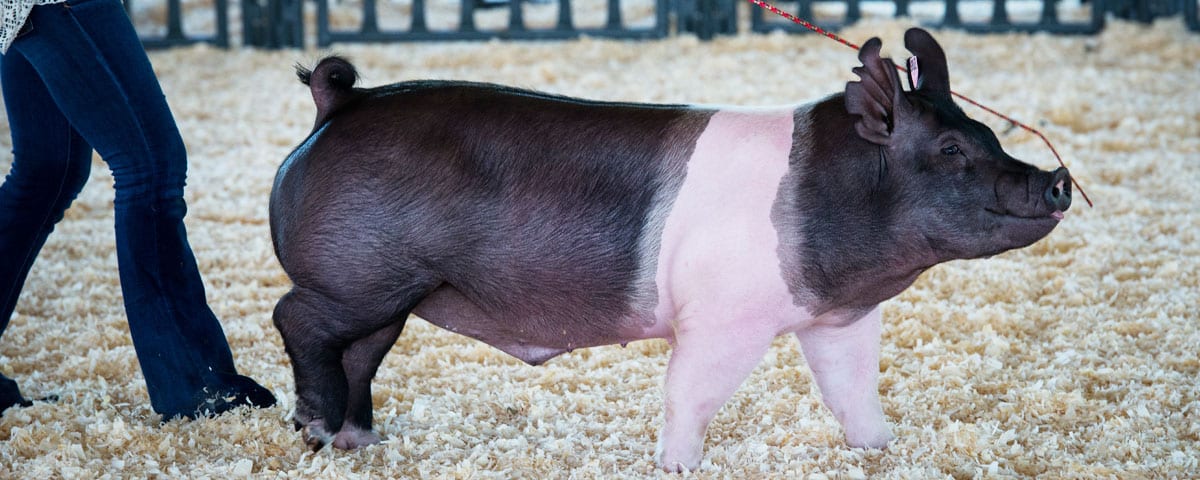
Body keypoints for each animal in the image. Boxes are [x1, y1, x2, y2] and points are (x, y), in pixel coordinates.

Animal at [269, 28, 1072, 472]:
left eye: (990, 134)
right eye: (950, 149)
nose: (1057, 180)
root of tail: (339, 104)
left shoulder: (838, 319)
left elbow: (853, 393)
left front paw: (881, 451)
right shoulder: (722, 319)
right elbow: (691, 393)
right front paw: (679, 466)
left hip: (389, 297)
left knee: (358, 353)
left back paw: (356, 441)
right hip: (356, 276)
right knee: (296, 321)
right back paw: (314, 427)